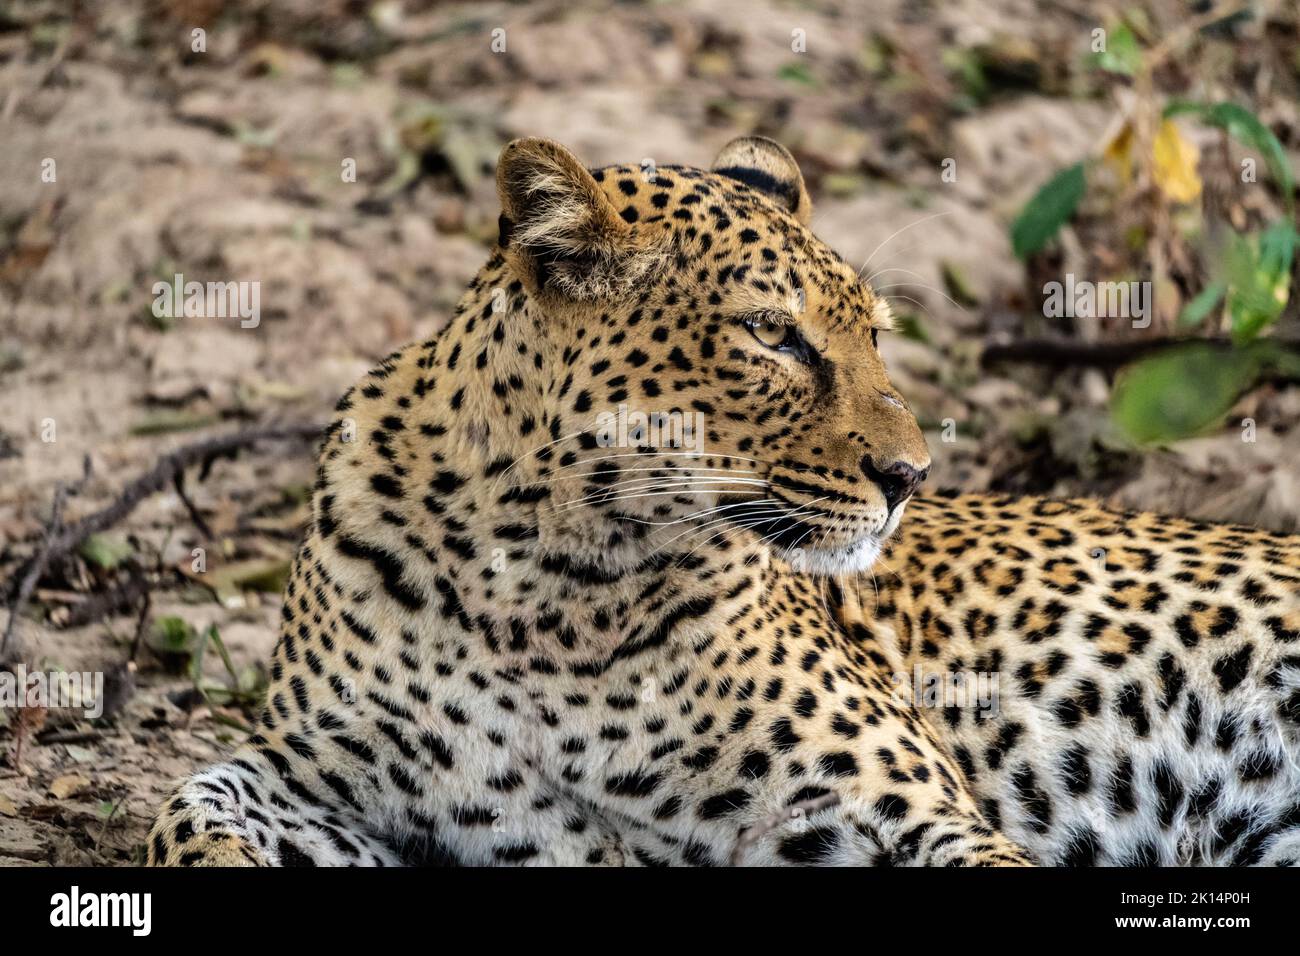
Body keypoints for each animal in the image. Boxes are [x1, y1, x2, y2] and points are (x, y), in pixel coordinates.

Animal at [147, 135, 1300, 867]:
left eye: (872, 332)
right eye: (773, 335)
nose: (912, 477)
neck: (547, 584)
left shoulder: (902, 811)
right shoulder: (329, 781)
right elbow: (190, 805)